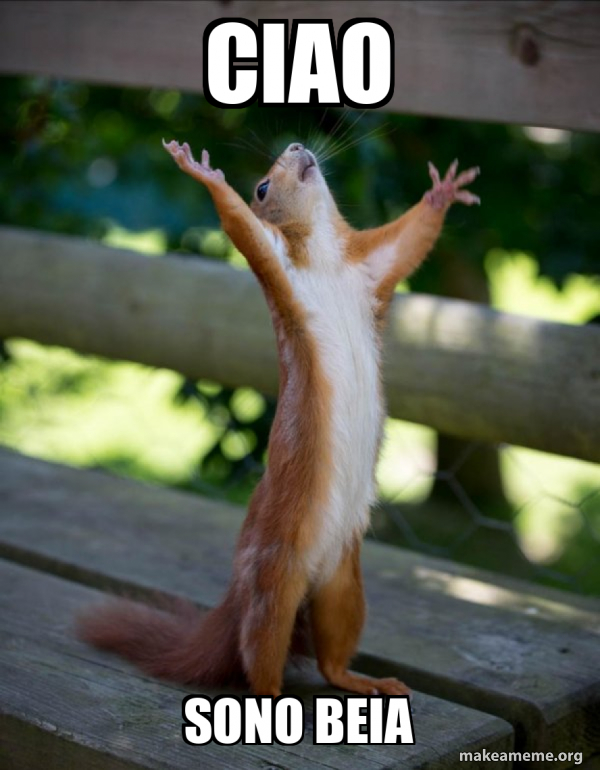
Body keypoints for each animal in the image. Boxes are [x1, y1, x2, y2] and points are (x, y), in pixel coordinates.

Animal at [77, 138, 479, 698]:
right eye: (263, 187)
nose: (296, 146)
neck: (327, 258)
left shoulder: (372, 267)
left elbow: (410, 239)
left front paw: (442, 193)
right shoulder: (277, 264)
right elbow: (240, 226)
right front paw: (204, 173)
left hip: (344, 586)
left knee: (331, 656)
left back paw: (365, 680)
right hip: (273, 583)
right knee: (259, 658)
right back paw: (273, 695)